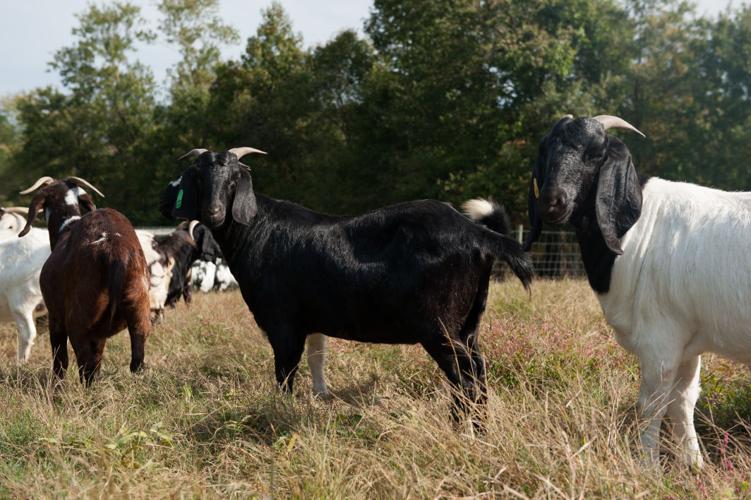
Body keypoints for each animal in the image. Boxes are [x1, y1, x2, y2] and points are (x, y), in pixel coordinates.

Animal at [18, 176, 151, 384]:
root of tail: (113, 249)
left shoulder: (55, 317)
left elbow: (60, 359)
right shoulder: (99, 334)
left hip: (80, 322)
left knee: (86, 366)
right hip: (138, 311)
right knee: (135, 361)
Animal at [160, 147, 533, 414]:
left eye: (233, 179)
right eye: (199, 177)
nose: (214, 213)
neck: (258, 231)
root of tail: (478, 234)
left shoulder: (283, 323)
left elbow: (285, 373)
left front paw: (279, 412)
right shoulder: (311, 322)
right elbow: (316, 361)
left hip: (438, 325)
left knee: (463, 375)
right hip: (468, 323)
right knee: (477, 369)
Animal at [523, 114, 751, 468]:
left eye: (595, 153)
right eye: (545, 151)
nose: (552, 202)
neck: (635, 229)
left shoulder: (660, 339)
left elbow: (650, 406)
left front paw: (649, 467)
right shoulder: (688, 341)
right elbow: (683, 401)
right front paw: (693, 465)